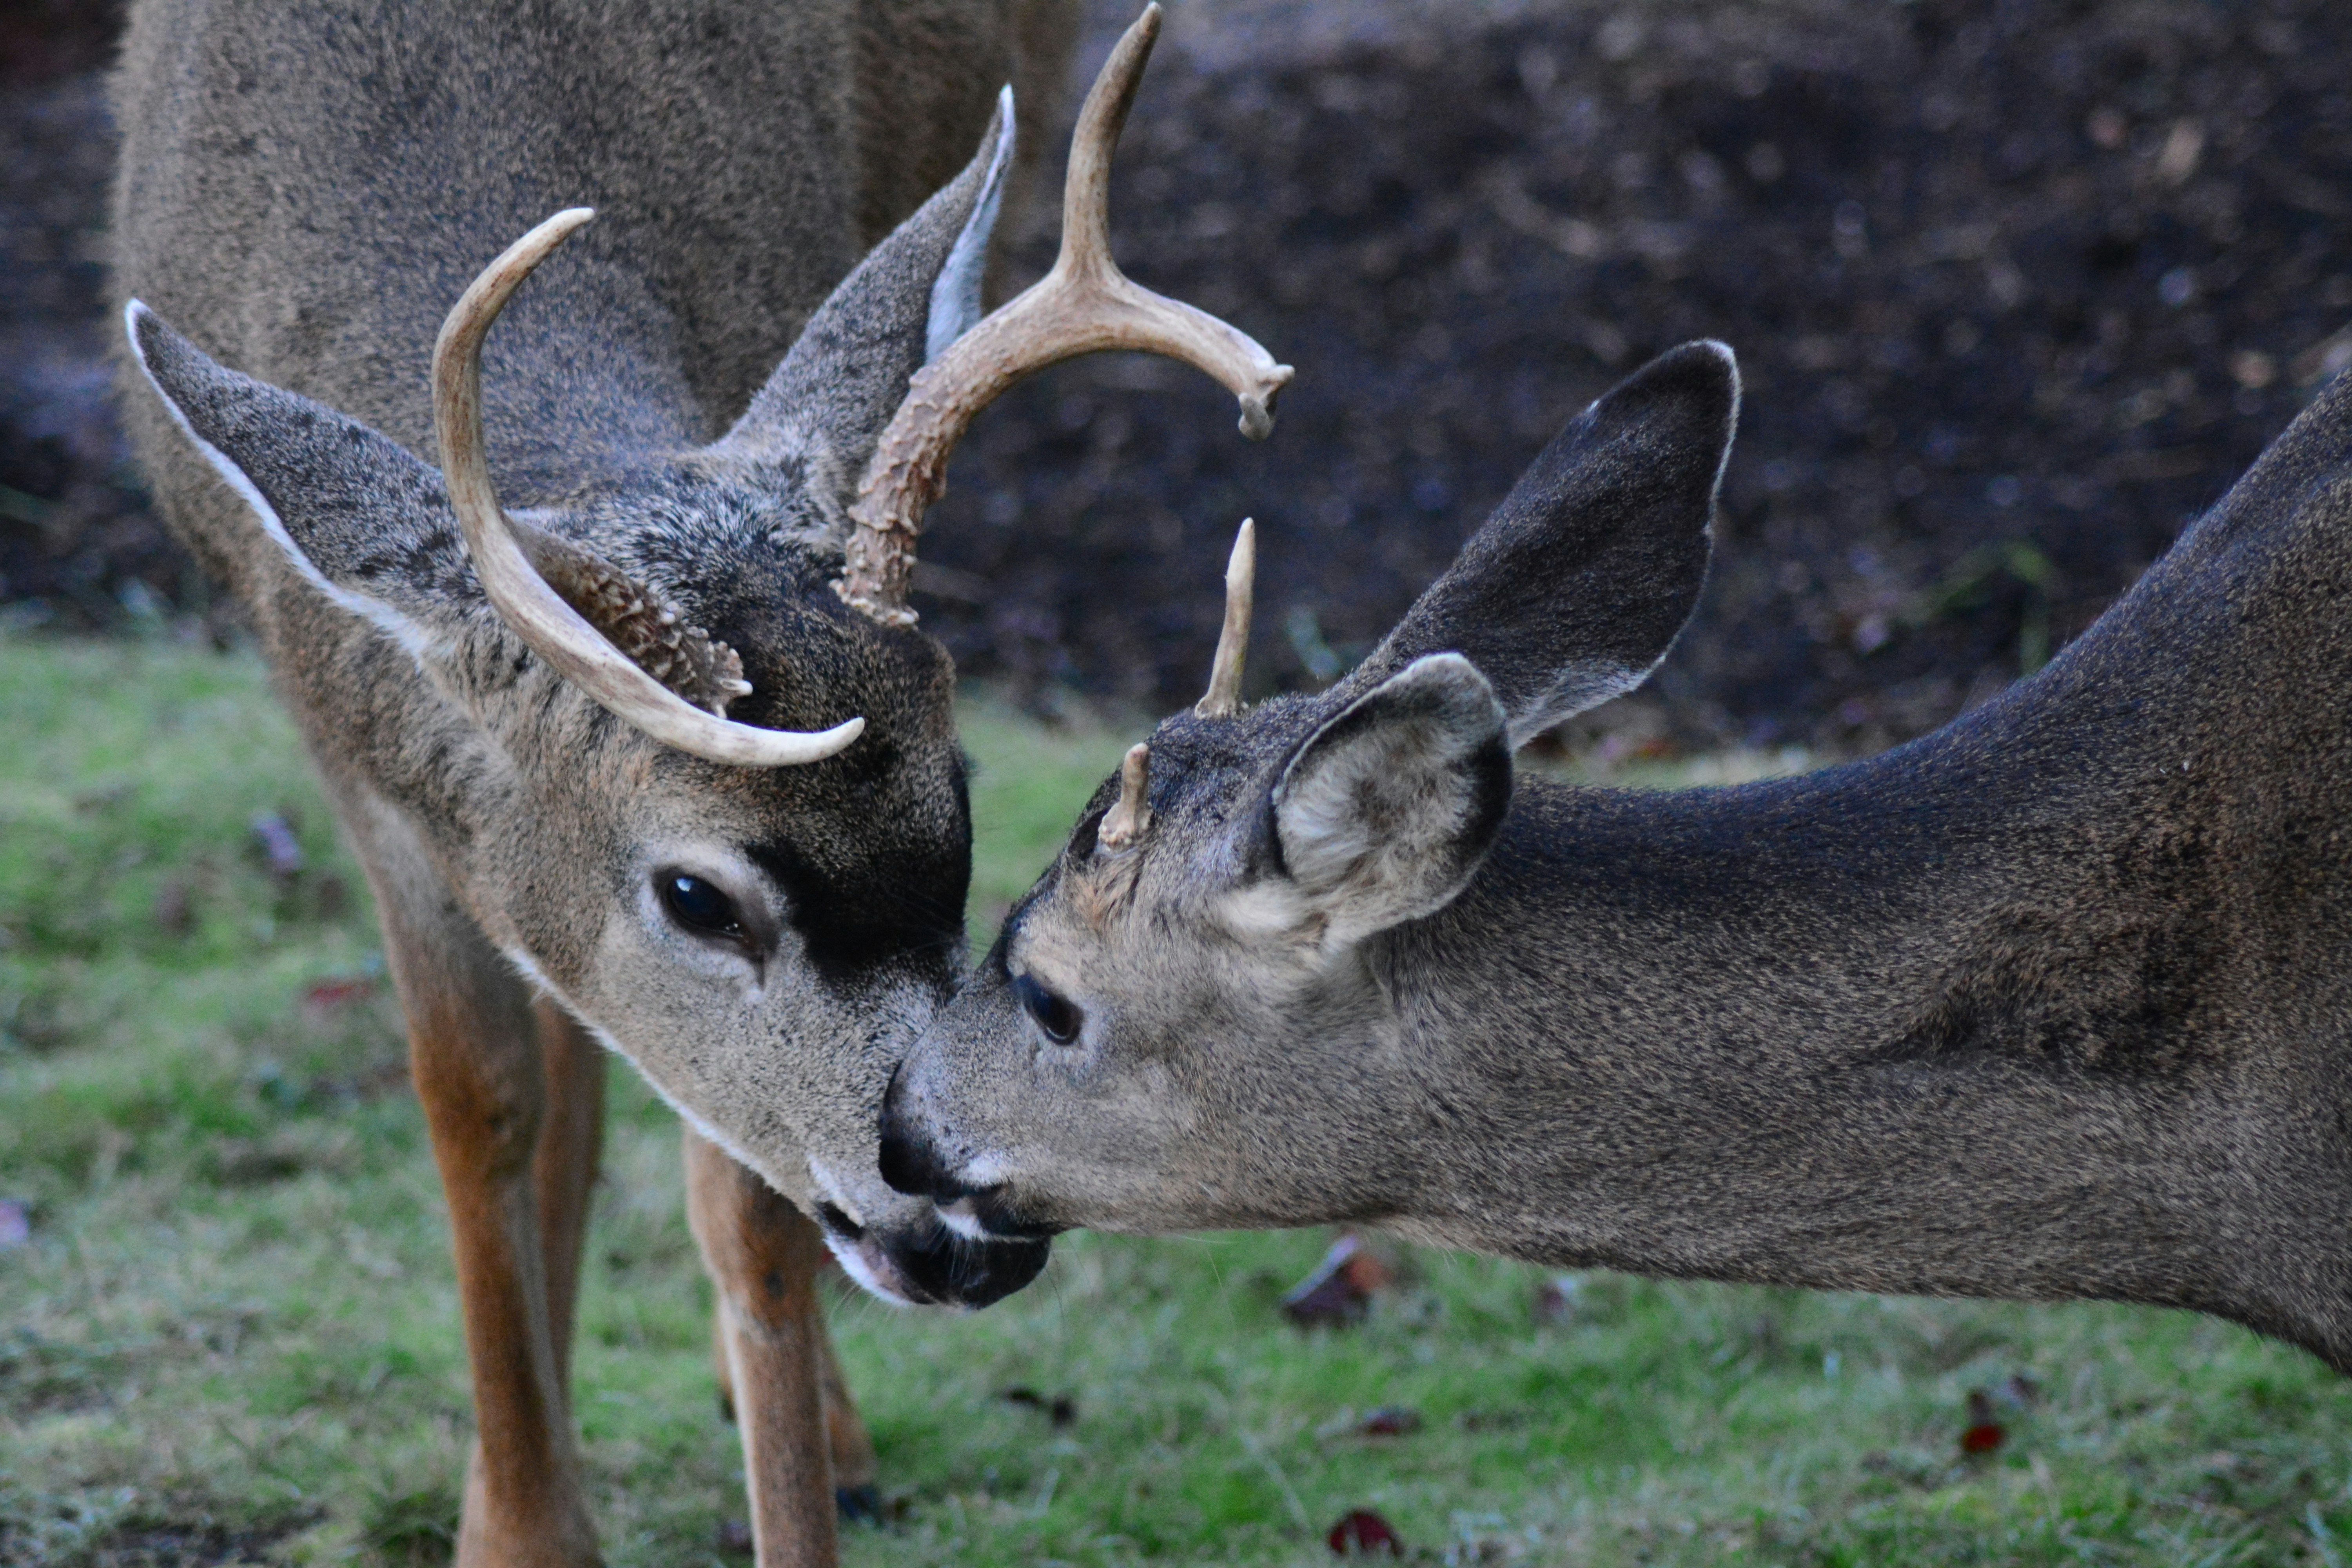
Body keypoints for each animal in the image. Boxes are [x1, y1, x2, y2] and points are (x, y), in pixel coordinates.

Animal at [109, 4, 1290, 1565]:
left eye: (960, 809)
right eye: (695, 893)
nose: (979, 1227)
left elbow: (747, 1208)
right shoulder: (353, 759)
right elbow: (476, 1100)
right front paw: (519, 1520)